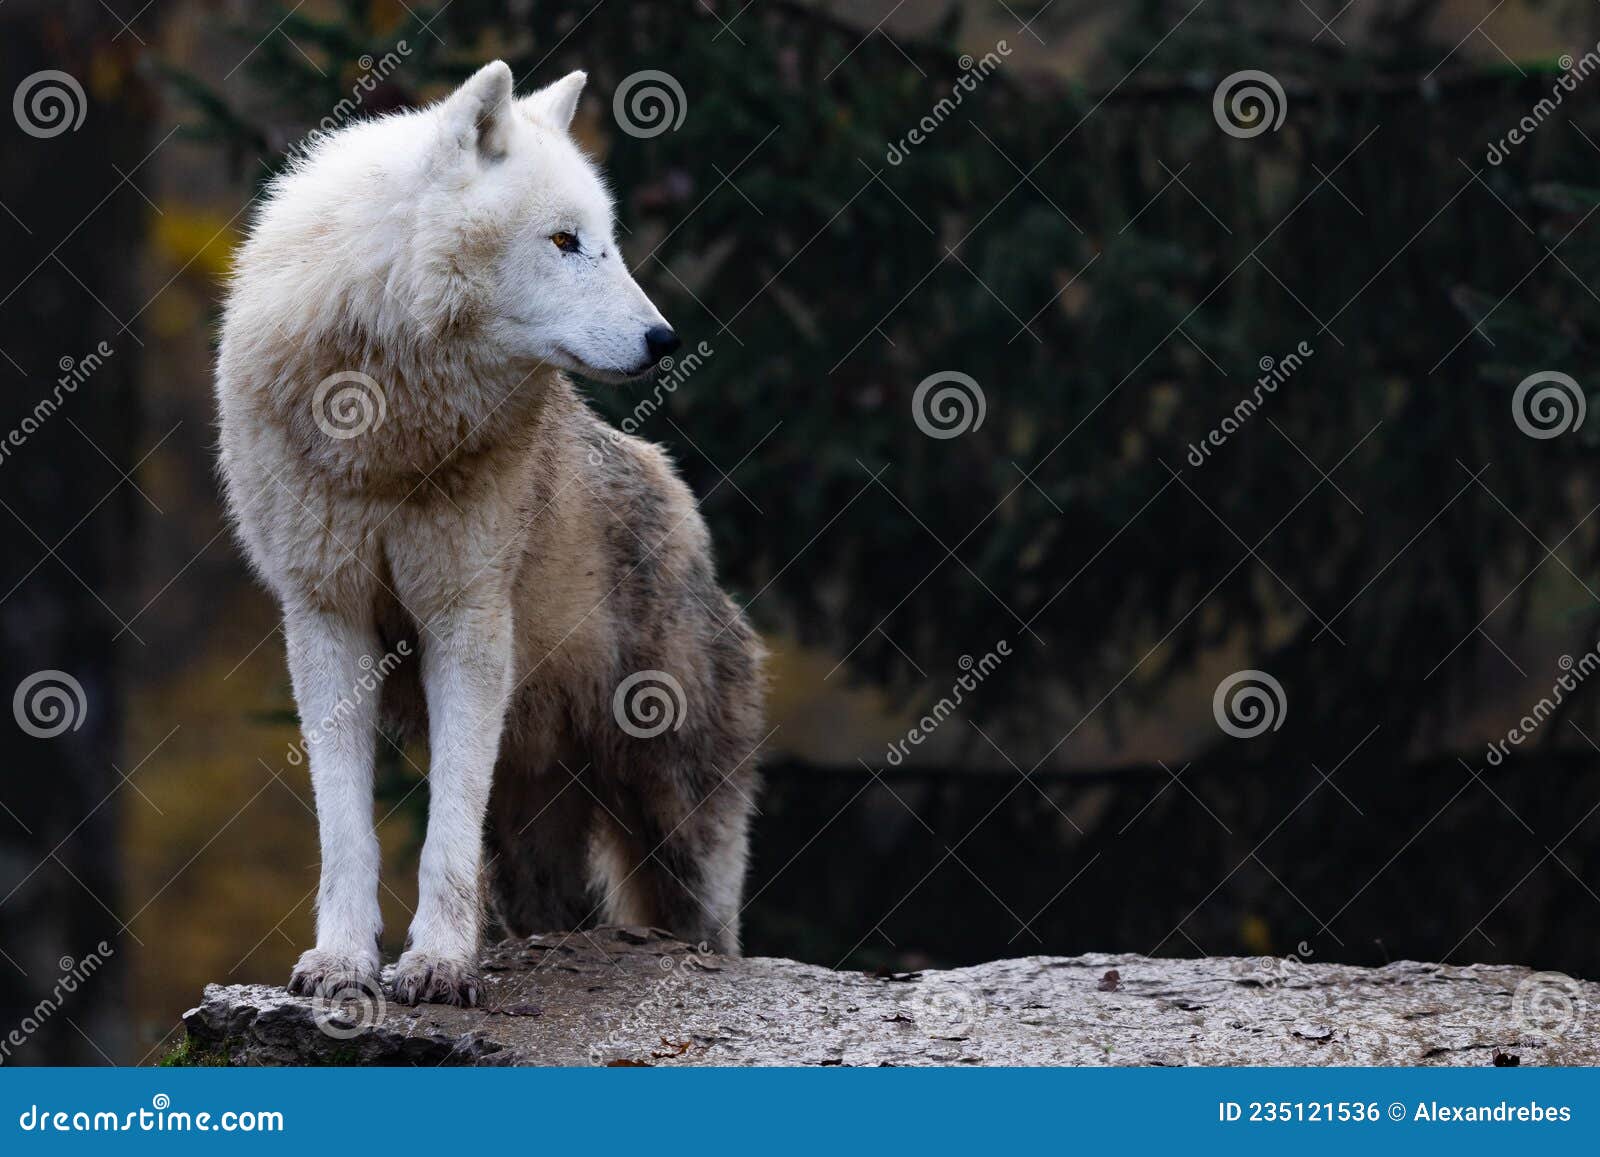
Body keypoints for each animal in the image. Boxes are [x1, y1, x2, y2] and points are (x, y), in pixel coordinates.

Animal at [215, 61, 766, 1006]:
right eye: (564, 241)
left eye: (607, 239)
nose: (665, 339)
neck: (387, 434)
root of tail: (675, 493)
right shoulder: (325, 618)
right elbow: (345, 829)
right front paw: (342, 963)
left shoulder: (465, 619)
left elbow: (444, 835)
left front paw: (437, 963)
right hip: (537, 831)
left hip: (674, 812)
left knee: (708, 926)